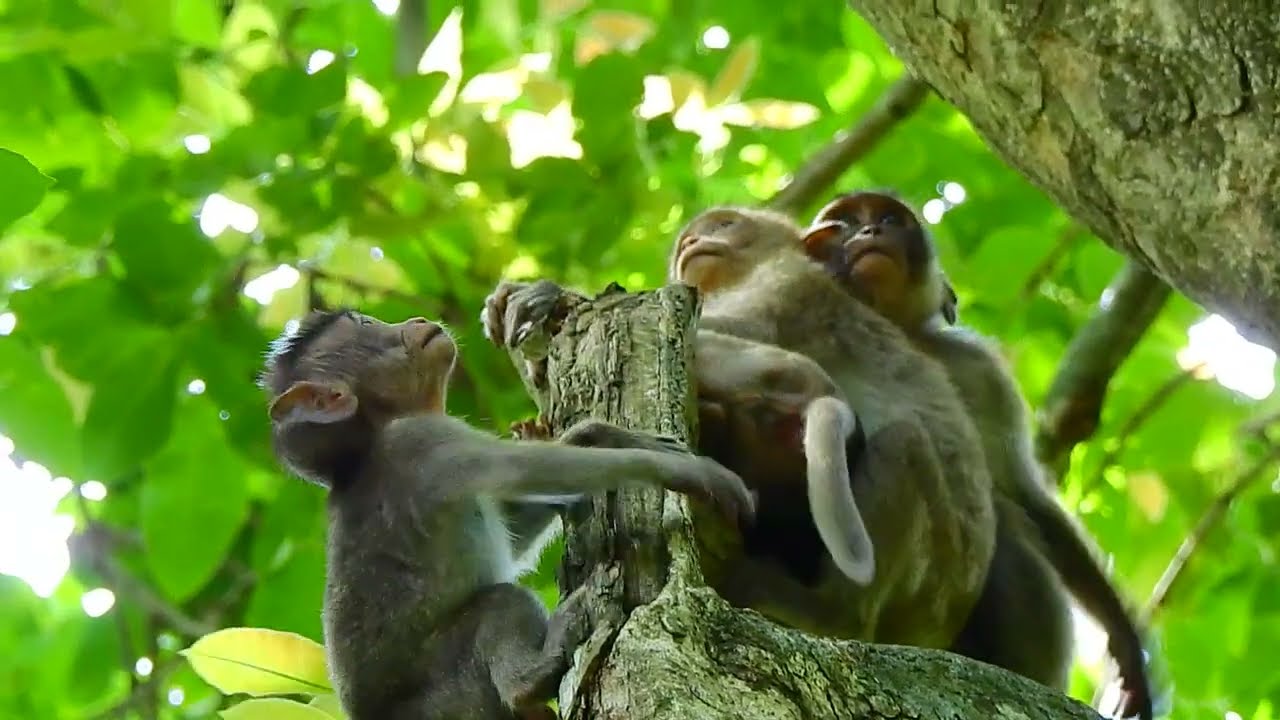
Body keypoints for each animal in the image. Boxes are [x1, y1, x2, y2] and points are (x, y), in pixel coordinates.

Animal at [261, 309, 755, 720]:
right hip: (447, 698)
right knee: (500, 603)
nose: (416, 320)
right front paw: (685, 471)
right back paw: (536, 672)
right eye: (365, 323)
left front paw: (597, 435)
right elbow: (519, 471)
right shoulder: (424, 439)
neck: (367, 446)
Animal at [484, 207, 997, 649]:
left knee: (902, 439)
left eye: (725, 224)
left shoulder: (783, 287)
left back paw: (829, 613)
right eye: (687, 240)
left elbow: (716, 334)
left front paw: (550, 298)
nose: (692, 242)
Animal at [807, 189, 1154, 720]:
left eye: (888, 219)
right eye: (843, 223)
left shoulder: (979, 371)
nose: (869, 231)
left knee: (1005, 514)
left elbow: (1026, 496)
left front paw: (1126, 644)